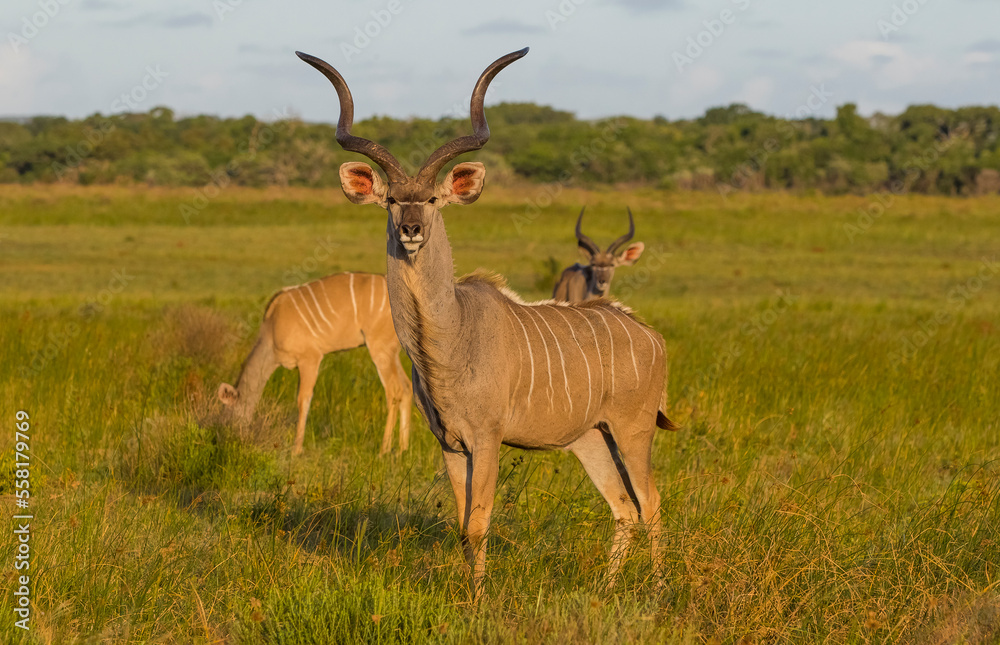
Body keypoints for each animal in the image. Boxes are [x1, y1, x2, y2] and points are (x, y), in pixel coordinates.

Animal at [217, 272, 413, 456]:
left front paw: (296, 450)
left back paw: (383, 450)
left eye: (226, 415)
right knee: (406, 386)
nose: (225, 436)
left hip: (380, 347)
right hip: (392, 351)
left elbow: (303, 399)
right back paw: (401, 450)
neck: (271, 332)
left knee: (394, 390)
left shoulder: (310, 358)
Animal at [296, 47, 677, 599]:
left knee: (650, 503)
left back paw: (659, 589)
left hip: (633, 430)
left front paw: (477, 600)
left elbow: (478, 523)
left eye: (433, 199)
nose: (411, 229)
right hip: (591, 438)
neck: (452, 342)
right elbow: (461, 525)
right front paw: (466, 592)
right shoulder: (451, 446)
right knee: (624, 507)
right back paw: (607, 590)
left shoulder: (488, 439)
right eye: (391, 200)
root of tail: (651, 336)